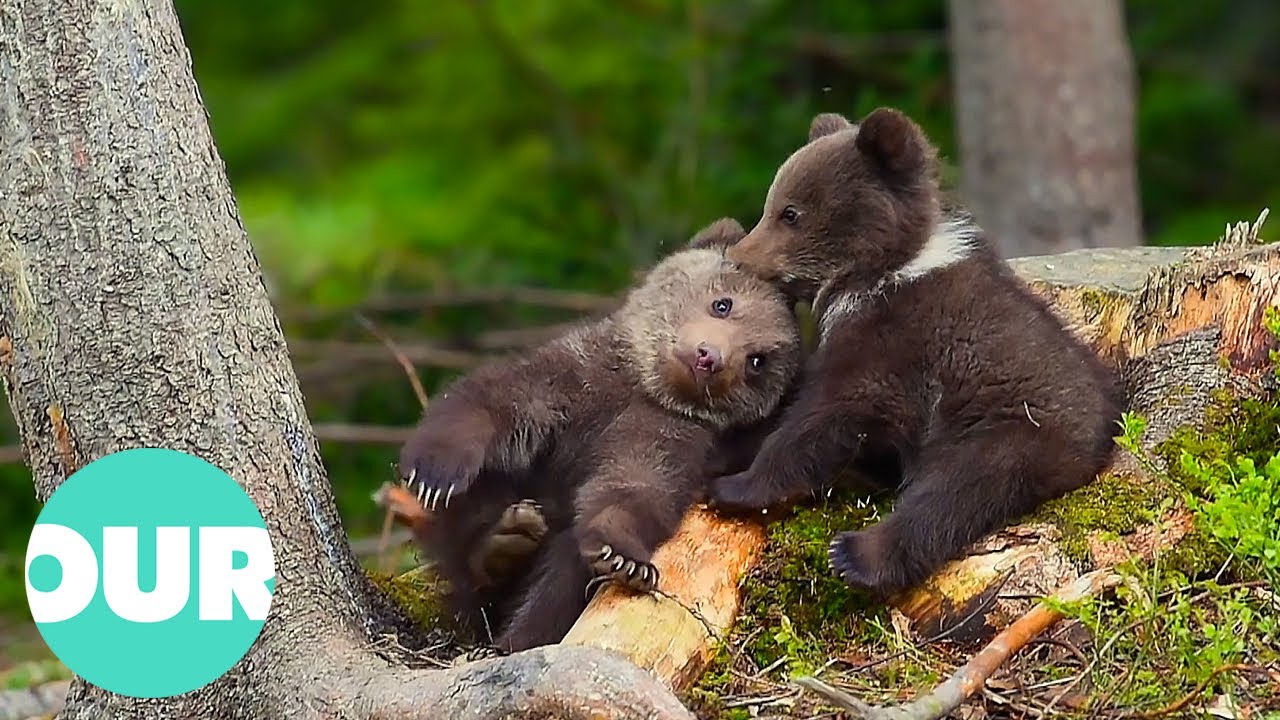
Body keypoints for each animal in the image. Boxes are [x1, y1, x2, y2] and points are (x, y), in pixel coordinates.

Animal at [398, 217, 804, 652]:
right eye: (723, 304)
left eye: (757, 361)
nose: (709, 357)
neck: (640, 387)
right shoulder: (574, 377)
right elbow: (492, 400)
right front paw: (435, 472)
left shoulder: (669, 433)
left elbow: (634, 486)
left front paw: (623, 556)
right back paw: (503, 542)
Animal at [707, 107, 1126, 598]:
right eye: (772, 206)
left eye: (790, 213)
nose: (737, 257)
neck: (880, 273)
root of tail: (1092, 449)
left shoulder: (895, 344)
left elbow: (826, 415)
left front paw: (733, 486)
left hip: (1006, 429)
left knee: (951, 495)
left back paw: (855, 555)